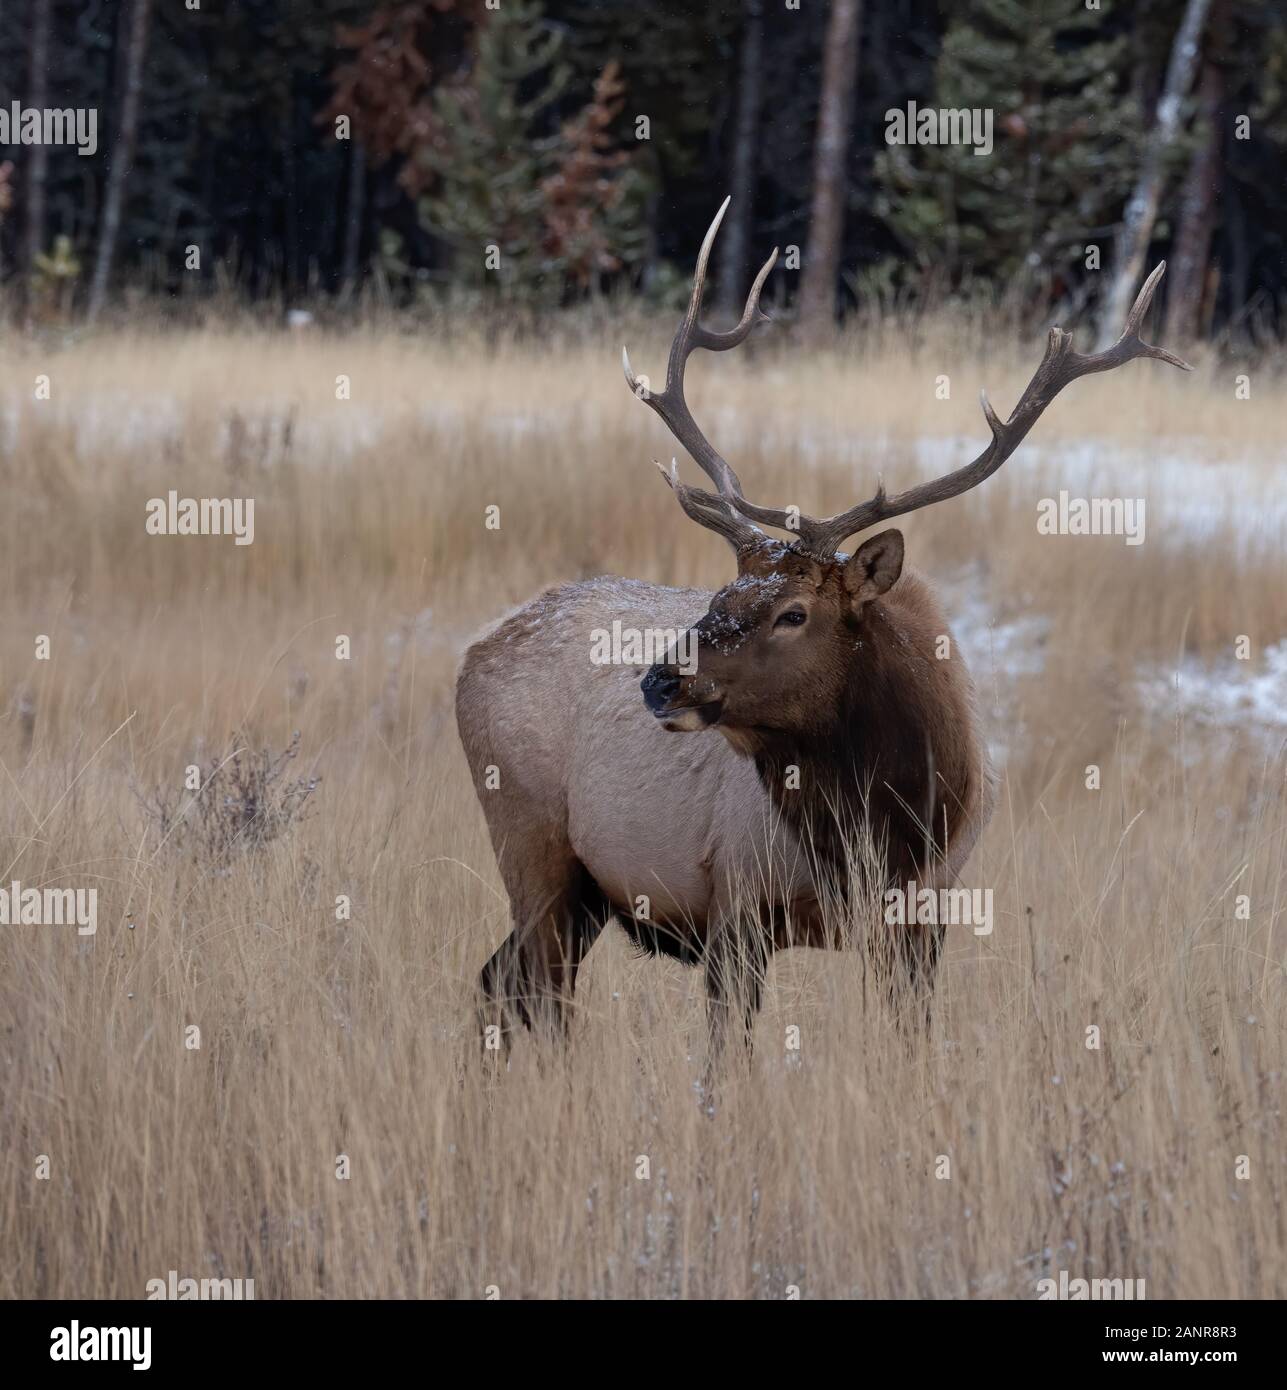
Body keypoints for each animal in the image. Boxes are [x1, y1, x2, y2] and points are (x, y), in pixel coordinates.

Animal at [457, 199, 1190, 1073]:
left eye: (793, 612)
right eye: (721, 593)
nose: (659, 681)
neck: (886, 825)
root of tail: (471, 653)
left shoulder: (923, 917)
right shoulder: (733, 904)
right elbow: (723, 1065)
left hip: (584, 890)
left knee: (499, 982)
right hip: (531, 839)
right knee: (534, 992)